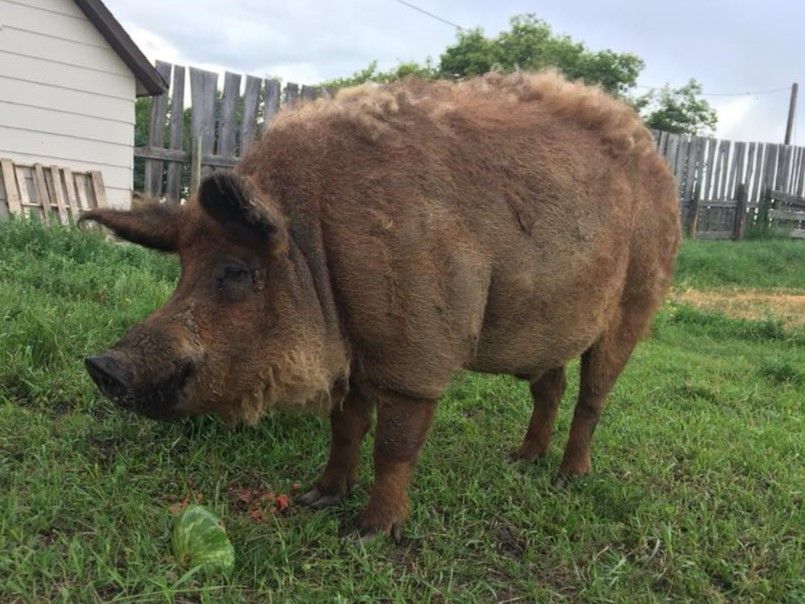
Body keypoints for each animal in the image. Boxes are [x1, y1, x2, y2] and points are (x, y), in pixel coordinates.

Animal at [82, 70, 681, 541]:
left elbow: (394, 444)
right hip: (544, 326)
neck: (316, 251)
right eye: (182, 270)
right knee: (550, 385)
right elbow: (345, 426)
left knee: (593, 396)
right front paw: (315, 500)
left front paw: (368, 535)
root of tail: (657, 159)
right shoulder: (355, 352)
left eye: (235, 272)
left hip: (637, 300)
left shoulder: (414, 356)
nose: (102, 365)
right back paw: (520, 461)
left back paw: (567, 478)